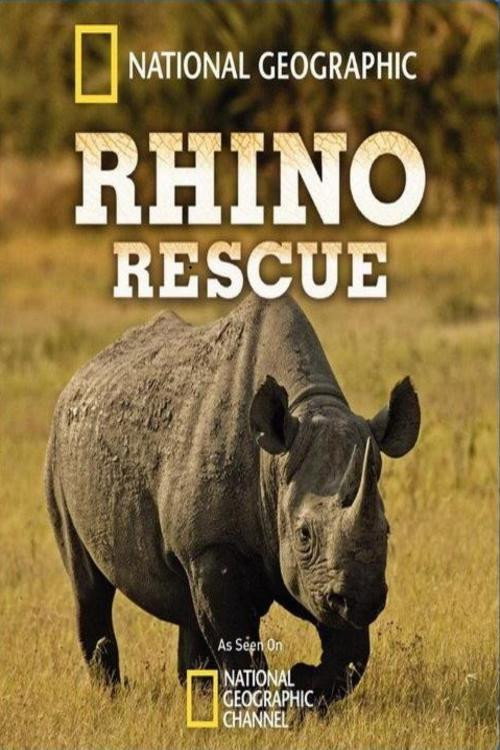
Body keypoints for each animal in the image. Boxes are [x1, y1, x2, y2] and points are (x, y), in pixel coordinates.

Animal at [45, 293, 420, 706]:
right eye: (303, 534)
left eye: (387, 530)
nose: (363, 600)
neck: (276, 462)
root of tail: (81, 373)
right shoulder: (211, 546)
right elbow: (237, 643)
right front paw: (256, 710)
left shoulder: (327, 574)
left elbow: (350, 655)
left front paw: (299, 688)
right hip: (59, 446)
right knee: (88, 586)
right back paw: (112, 697)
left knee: (187, 604)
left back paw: (199, 696)